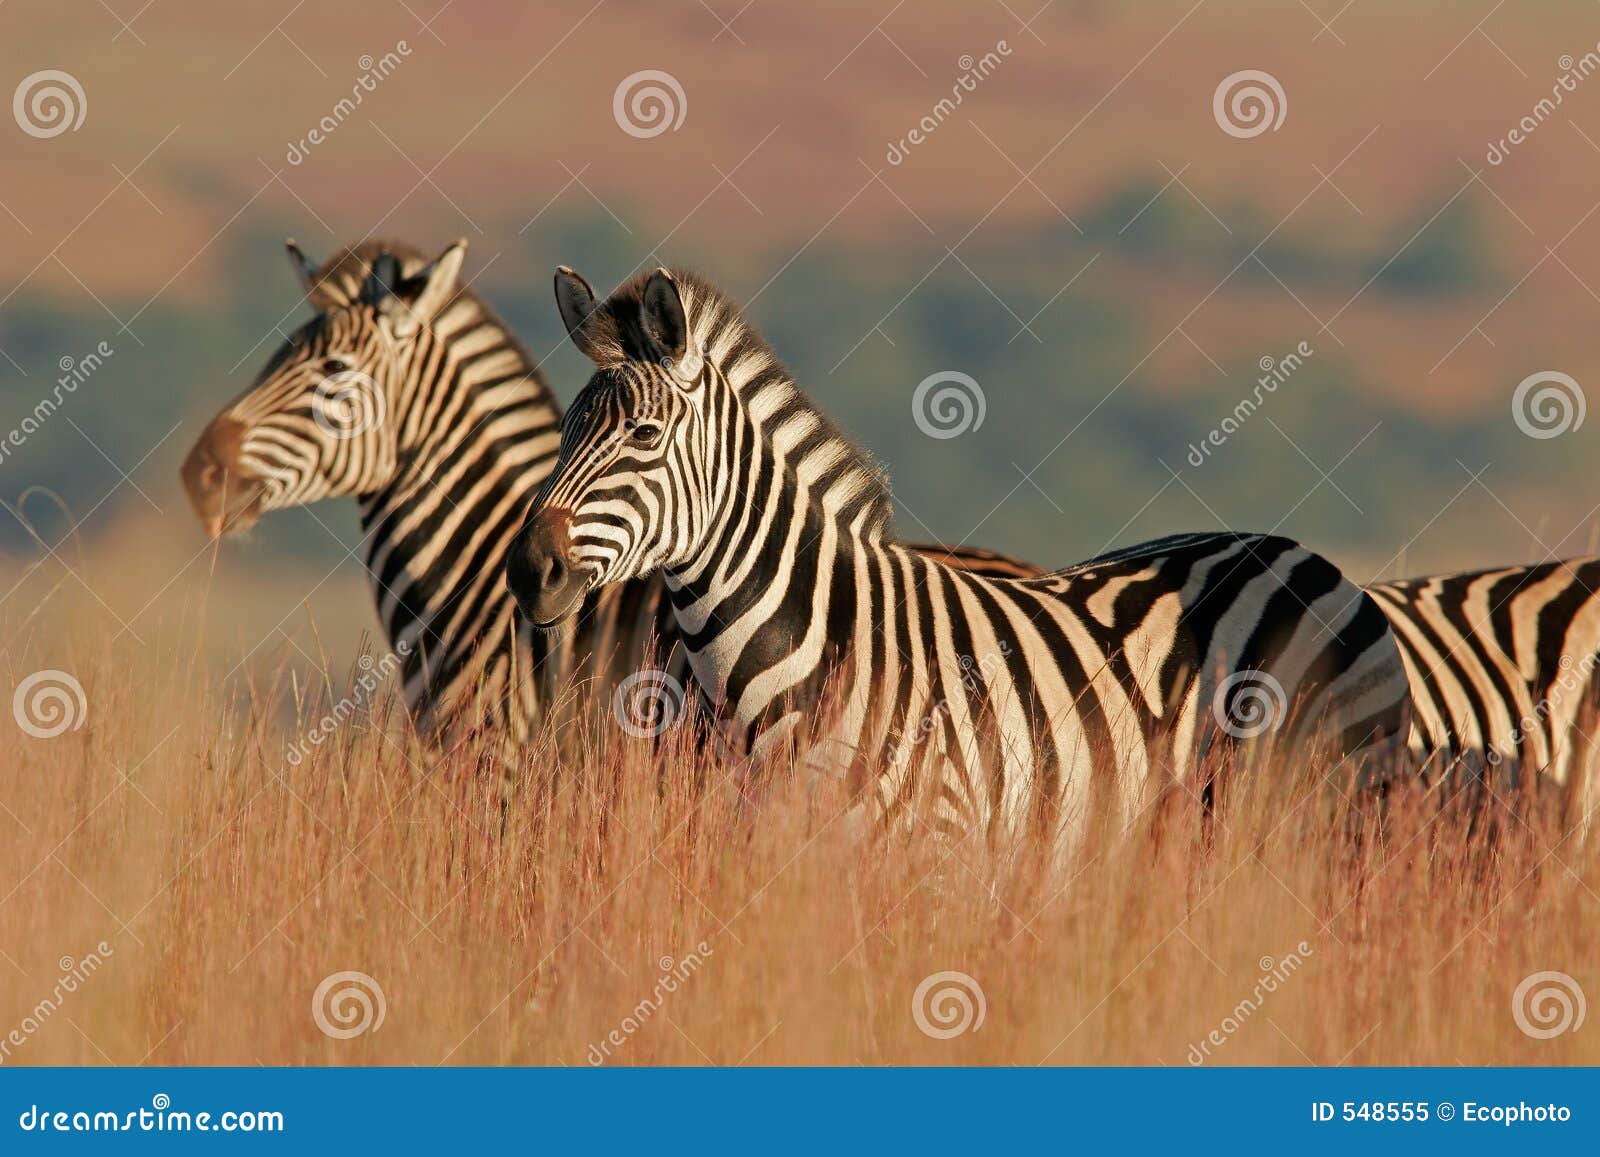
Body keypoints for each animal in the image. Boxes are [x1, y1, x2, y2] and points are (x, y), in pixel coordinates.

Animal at [506, 266, 1416, 848]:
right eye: (565, 430)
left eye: (643, 435)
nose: (528, 570)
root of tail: (1306, 555)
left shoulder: (934, 848)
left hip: (1331, 816)